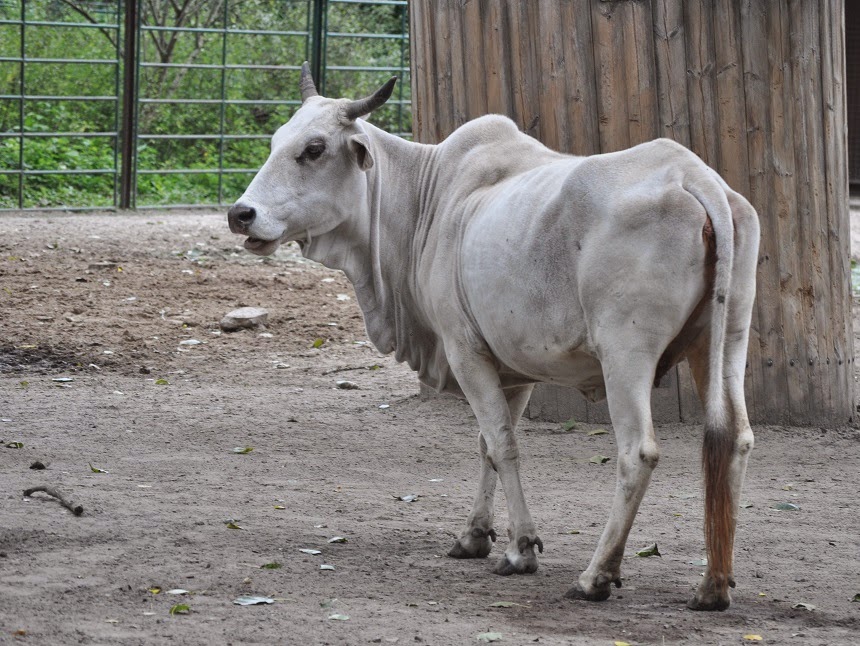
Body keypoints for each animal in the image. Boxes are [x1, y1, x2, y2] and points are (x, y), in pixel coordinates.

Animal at [228, 63, 760, 611]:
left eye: (314, 149)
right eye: (276, 140)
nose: (240, 214)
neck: (428, 197)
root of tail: (693, 176)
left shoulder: (465, 353)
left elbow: (503, 445)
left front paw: (520, 548)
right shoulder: (513, 368)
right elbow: (487, 444)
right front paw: (474, 536)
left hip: (625, 354)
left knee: (638, 452)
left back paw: (596, 575)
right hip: (723, 342)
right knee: (736, 440)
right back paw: (713, 584)